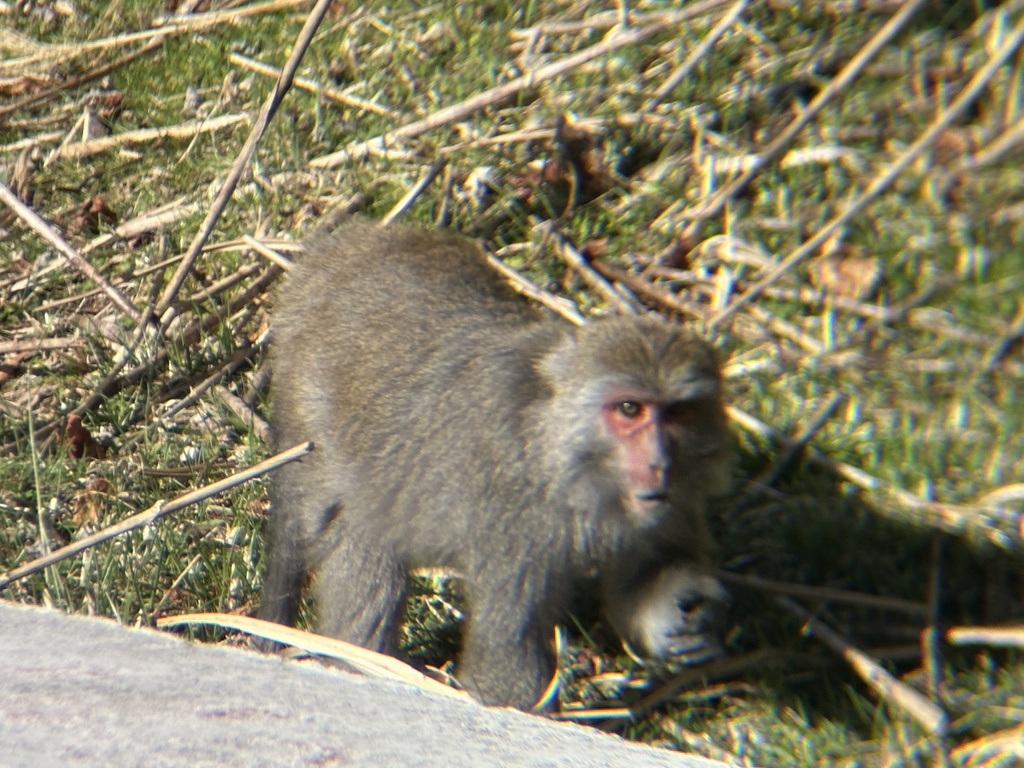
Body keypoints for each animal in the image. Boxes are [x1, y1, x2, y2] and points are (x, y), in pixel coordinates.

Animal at [258, 218, 733, 709]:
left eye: (678, 412)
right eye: (628, 409)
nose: (660, 462)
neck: (563, 462)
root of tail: (328, 263)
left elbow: (645, 575)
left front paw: (688, 621)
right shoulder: (514, 521)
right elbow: (508, 661)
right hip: (322, 430)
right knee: (367, 541)